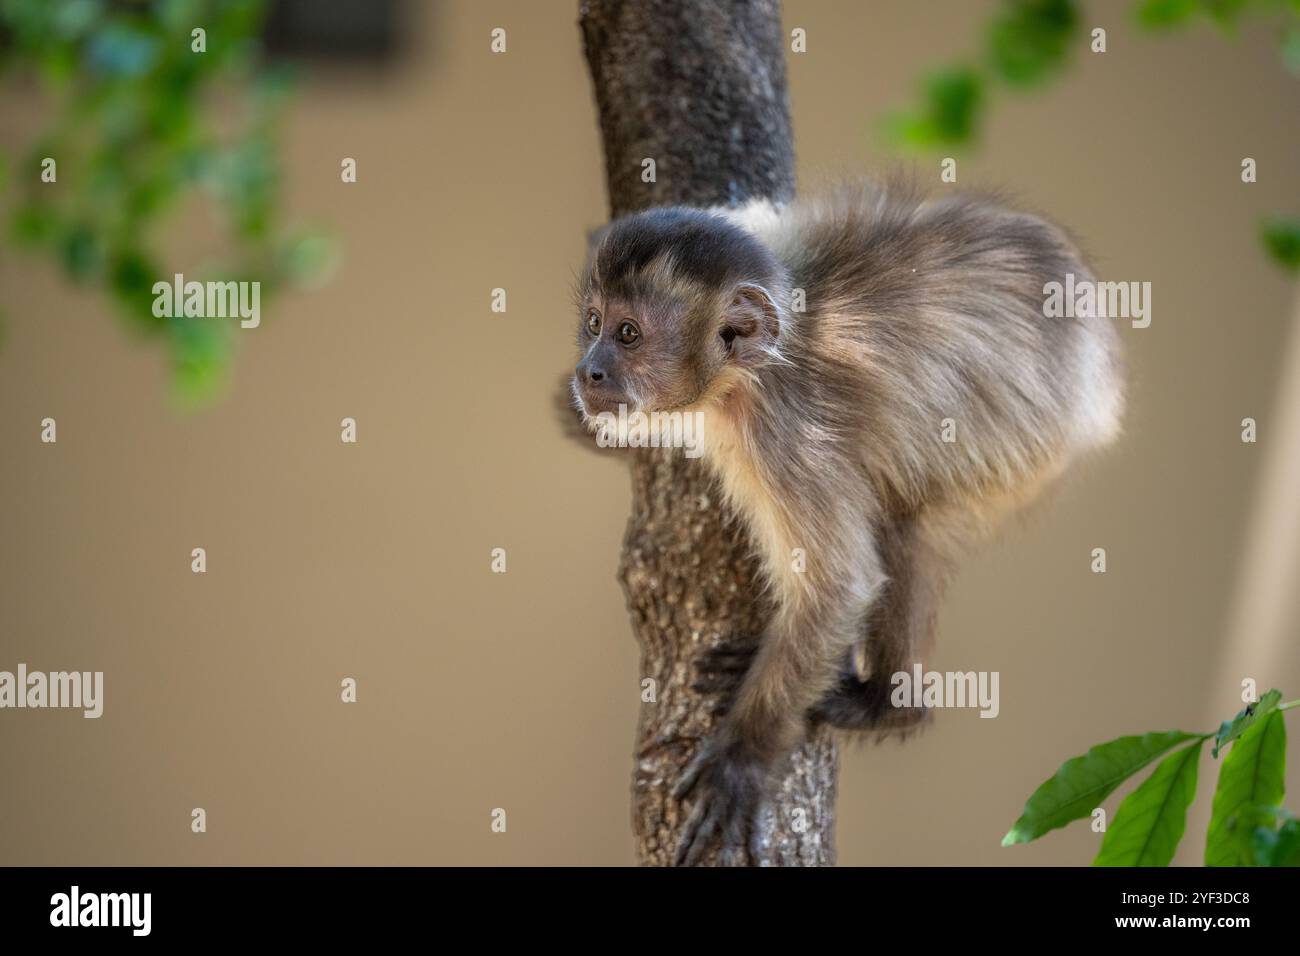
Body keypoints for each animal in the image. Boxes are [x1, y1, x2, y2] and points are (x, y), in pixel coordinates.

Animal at [568, 180, 1124, 866]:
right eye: (593, 324)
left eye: (628, 334)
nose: (588, 370)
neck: (745, 374)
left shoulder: (785, 433)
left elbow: (841, 587)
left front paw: (743, 757)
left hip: (1030, 440)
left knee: (908, 529)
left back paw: (888, 706)